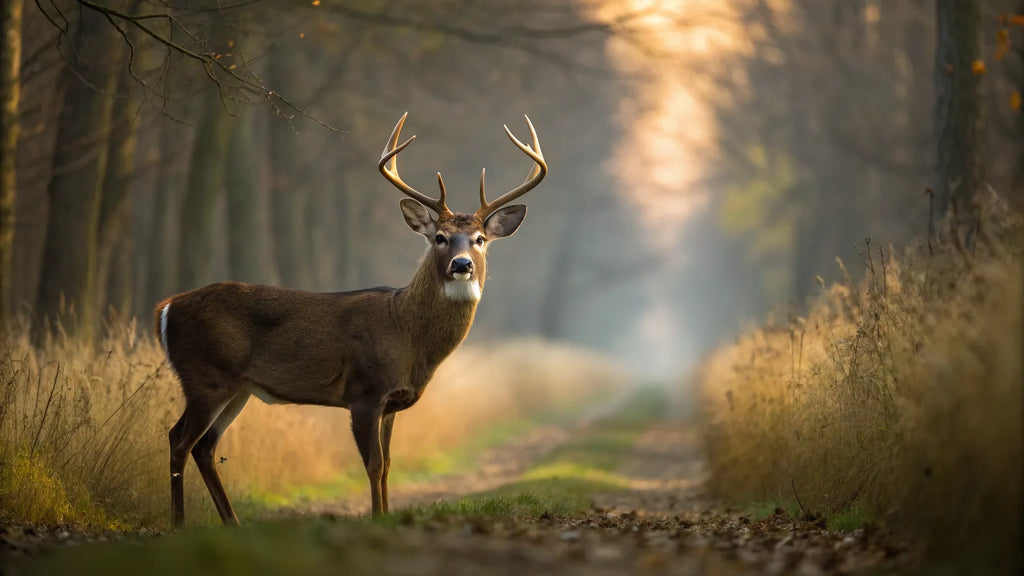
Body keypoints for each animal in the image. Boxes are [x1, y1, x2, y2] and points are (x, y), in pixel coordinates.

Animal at [154, 113, 546, 528]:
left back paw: (232, 522)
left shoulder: (392, 402)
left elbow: (388, 465)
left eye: (479, 239)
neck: (406, 334)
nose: (462, 264)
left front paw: (387, 515)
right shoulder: (363, 391)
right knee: (179, 439)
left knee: (204, 447)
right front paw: (376, 518)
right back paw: (179, 525)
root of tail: (166, 307)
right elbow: (373, 464)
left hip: (237, 387)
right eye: (440, 237)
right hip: (205, 375)